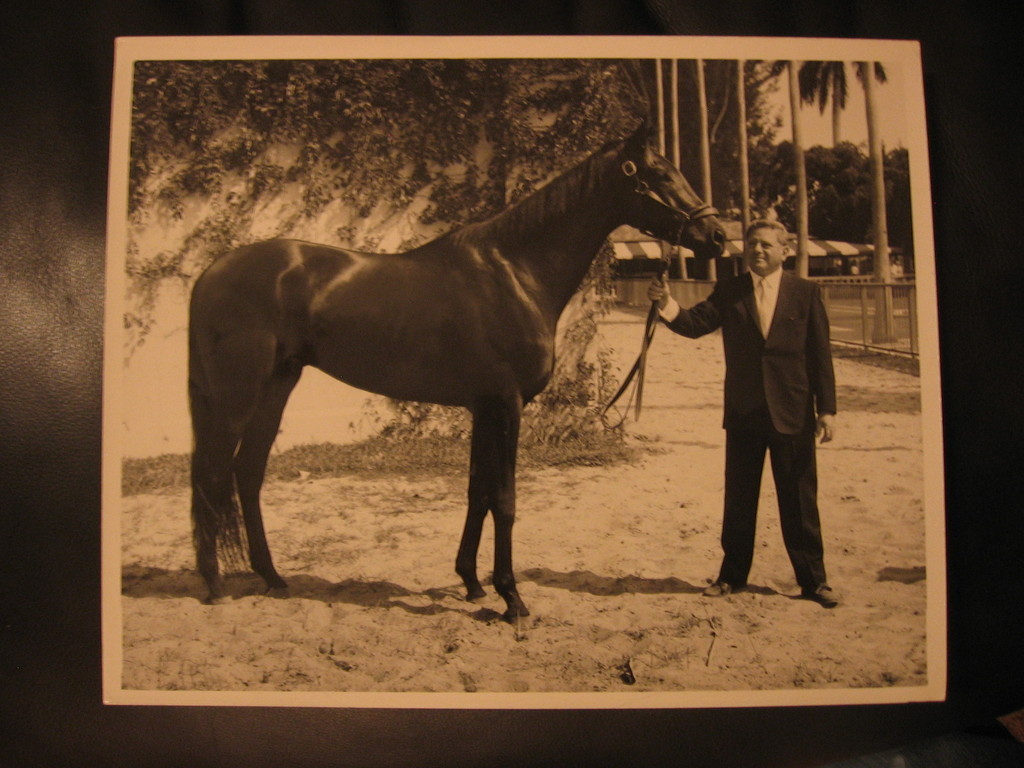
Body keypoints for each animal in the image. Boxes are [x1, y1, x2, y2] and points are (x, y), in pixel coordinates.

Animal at [187, 122, 725, 621]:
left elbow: (477, 491)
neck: (516, 272)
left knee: (247, 472)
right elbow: (504, 498)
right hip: (237, 394)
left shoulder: (484, 408)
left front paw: (471, 582)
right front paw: (512, 598)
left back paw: (272, 577)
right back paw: (215, 585)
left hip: (277, 385)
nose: (717, 235)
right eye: (661, 174)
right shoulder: (506, 406)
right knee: (213, 472)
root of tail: (212, 271)